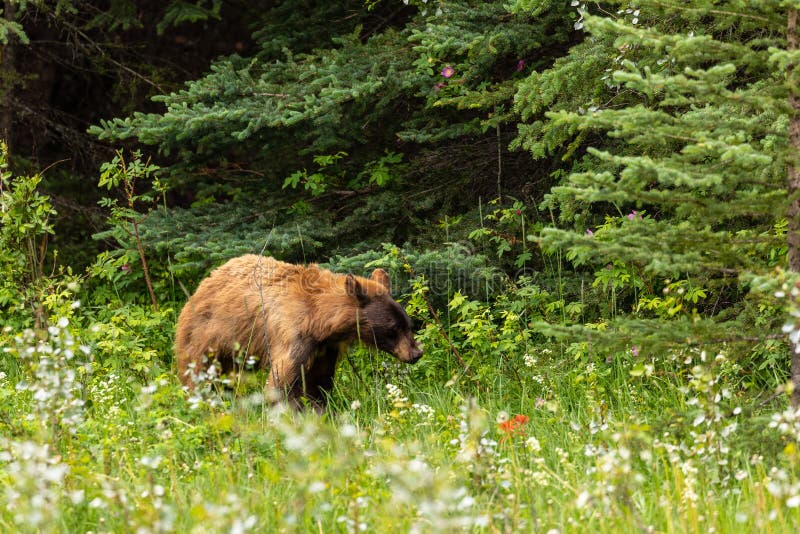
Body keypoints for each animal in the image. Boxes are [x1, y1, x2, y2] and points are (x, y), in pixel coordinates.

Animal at [174, 254, 423, 409]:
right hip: (205, 334)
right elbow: (281, 382)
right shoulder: (292, 335)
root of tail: (204, 282)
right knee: (196, 372)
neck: (319, 319)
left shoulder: (325, 347)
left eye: (408, 324)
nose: (416, 353)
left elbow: (319, 382)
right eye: (393, 329)